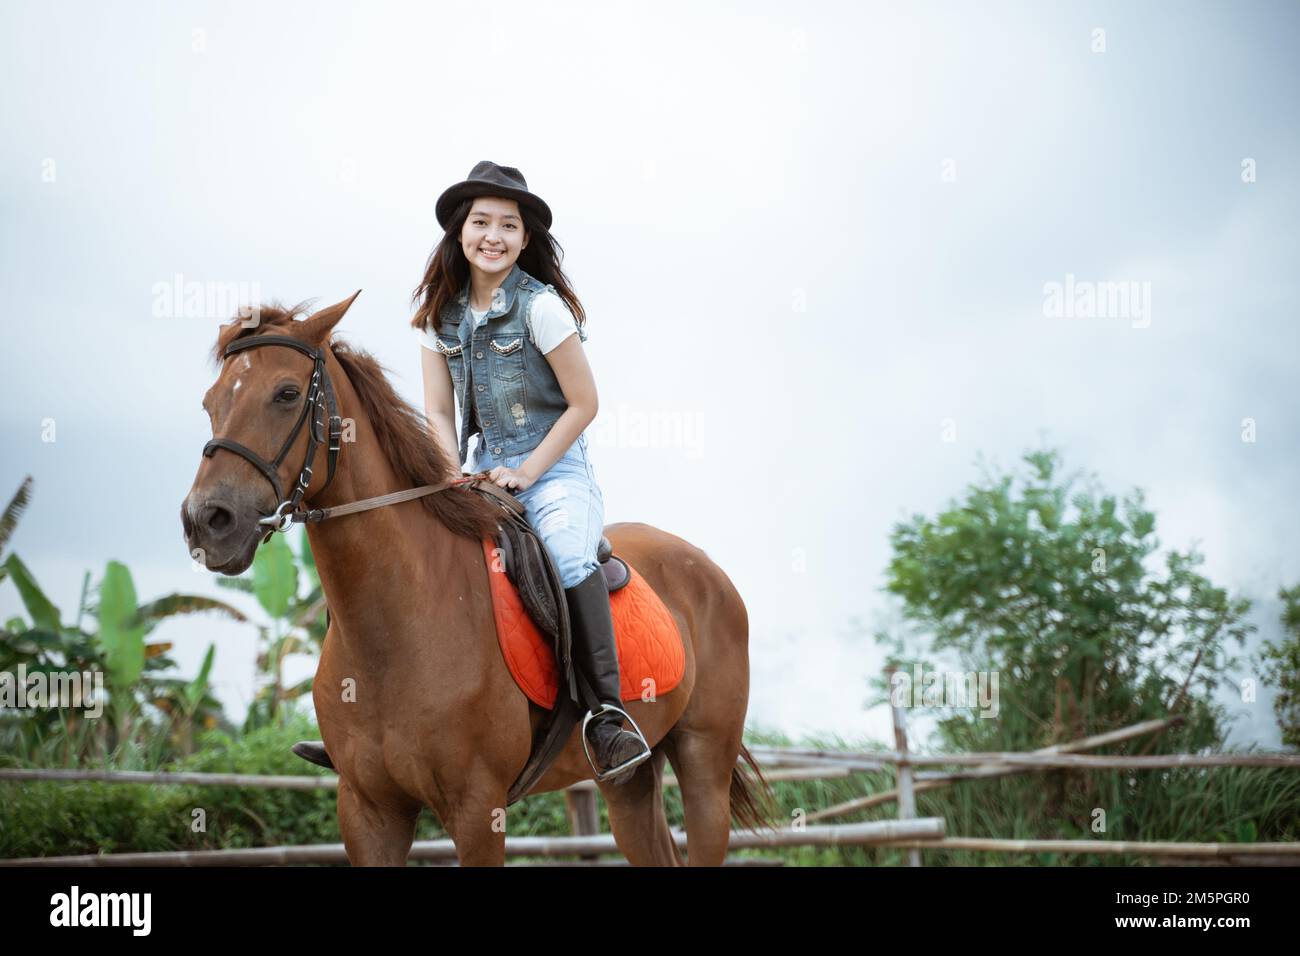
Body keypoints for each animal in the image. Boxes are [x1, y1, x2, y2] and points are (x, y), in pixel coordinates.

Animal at [180, 293, 774, 865]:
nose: (207, 521)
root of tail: (705, 567)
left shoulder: (477, 807)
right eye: (210, 402)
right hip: (629, 783)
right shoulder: (367, 811)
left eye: (285, 393)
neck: (396, 626)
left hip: (703, 765)